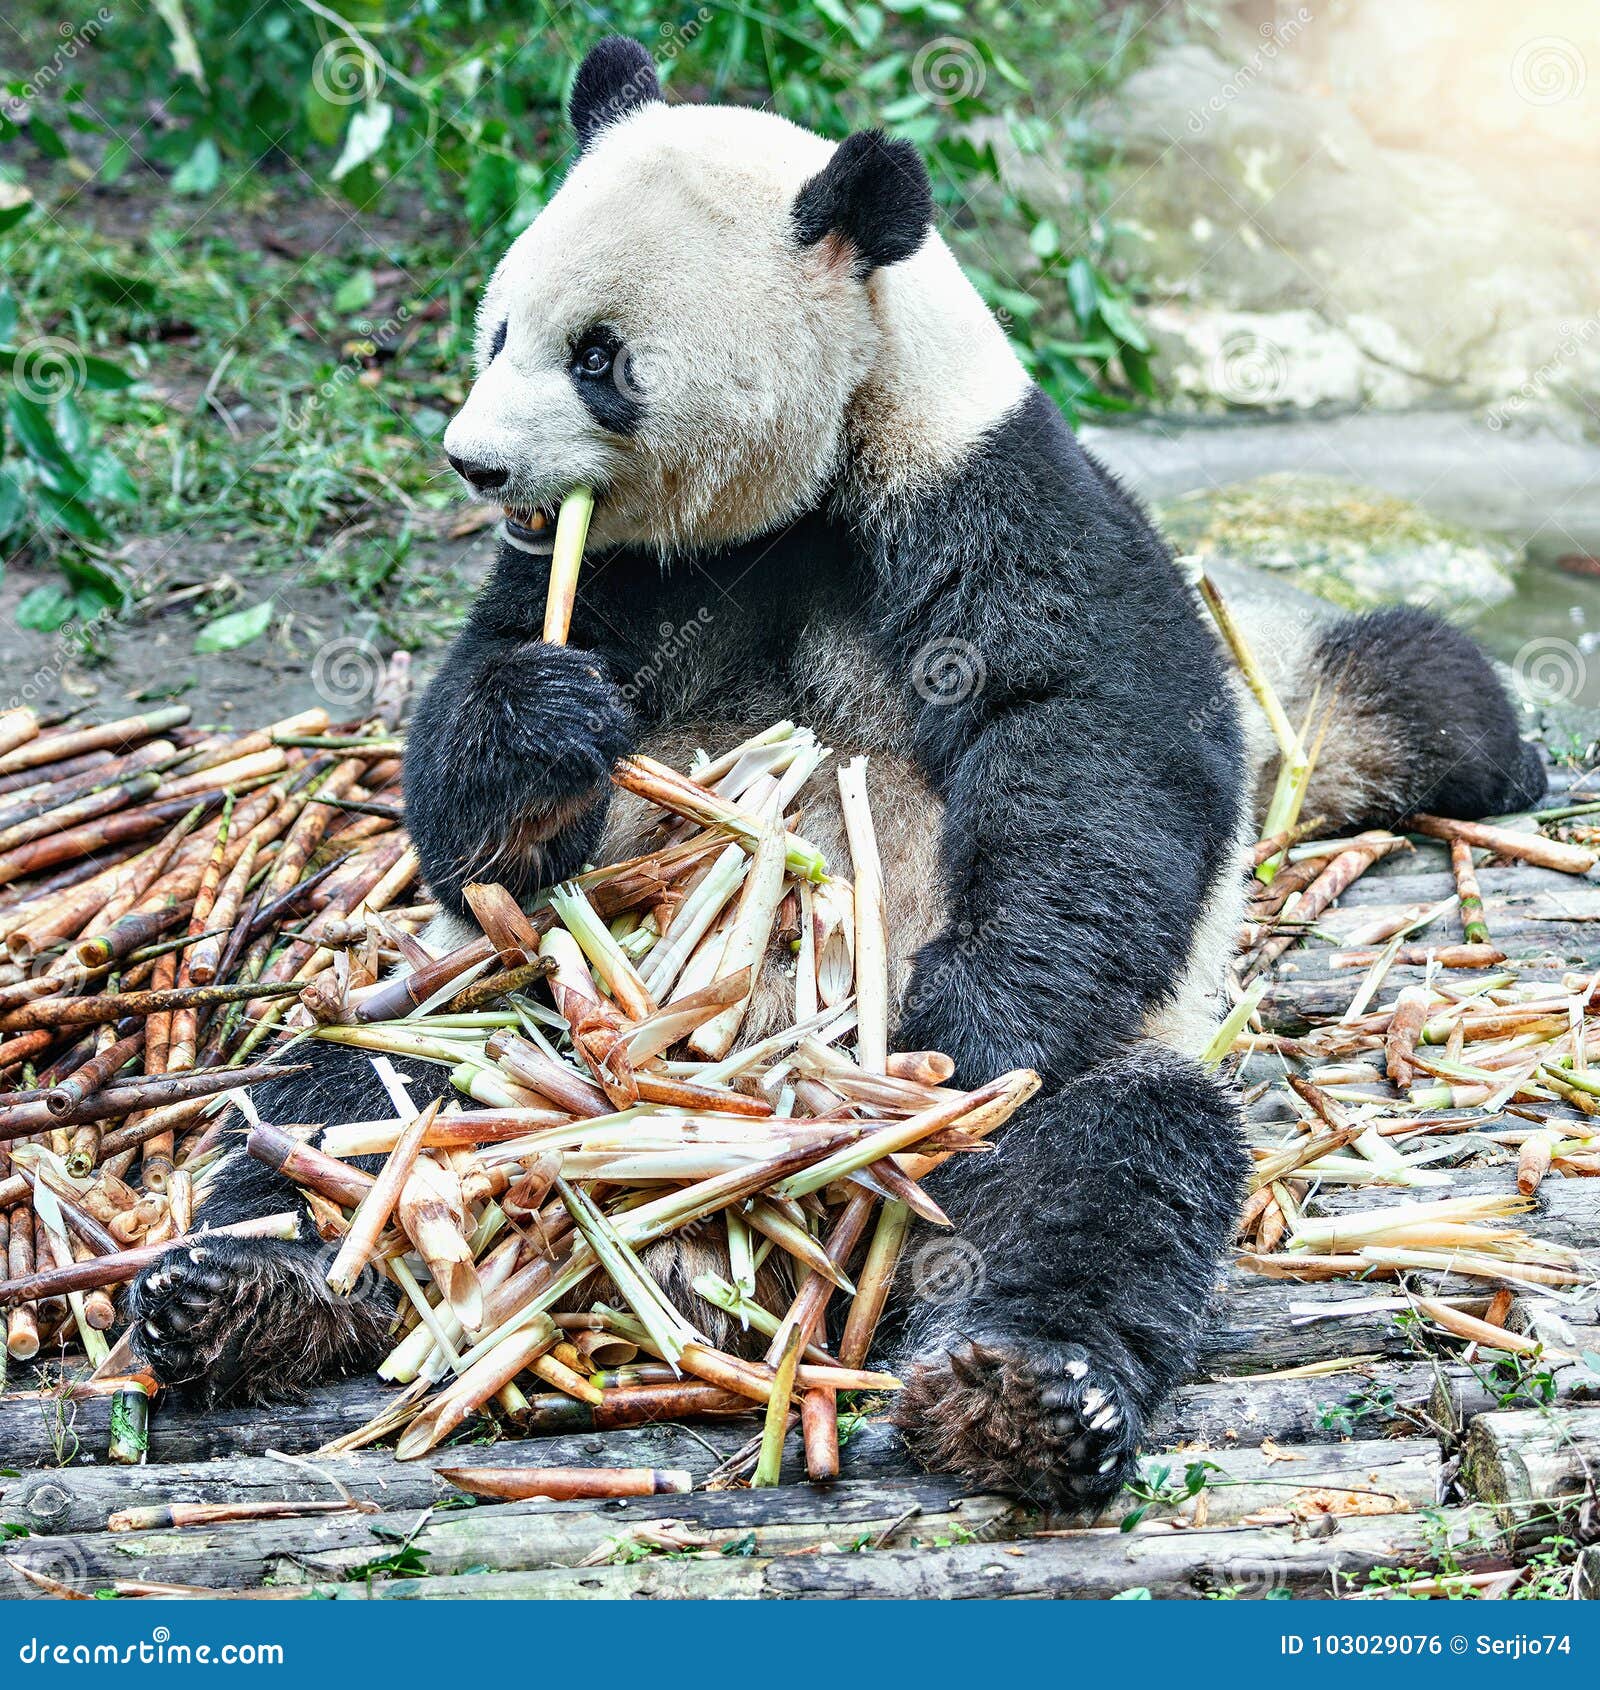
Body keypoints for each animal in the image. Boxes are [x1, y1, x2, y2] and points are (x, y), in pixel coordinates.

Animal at [128, 37, 1544, 1509]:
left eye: (600, 358)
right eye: (498, 330)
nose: (478, 462)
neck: (816, 476)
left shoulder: (993, 496)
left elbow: (1100, 744)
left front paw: (963, 1020)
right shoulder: (622, 574)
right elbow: (480, 809)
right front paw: (545, 720)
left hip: (1070, 1083)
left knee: (1110, 1167)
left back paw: (1021, 1392)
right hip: (509, 1023)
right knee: (350, 1100)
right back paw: (240, 1290)